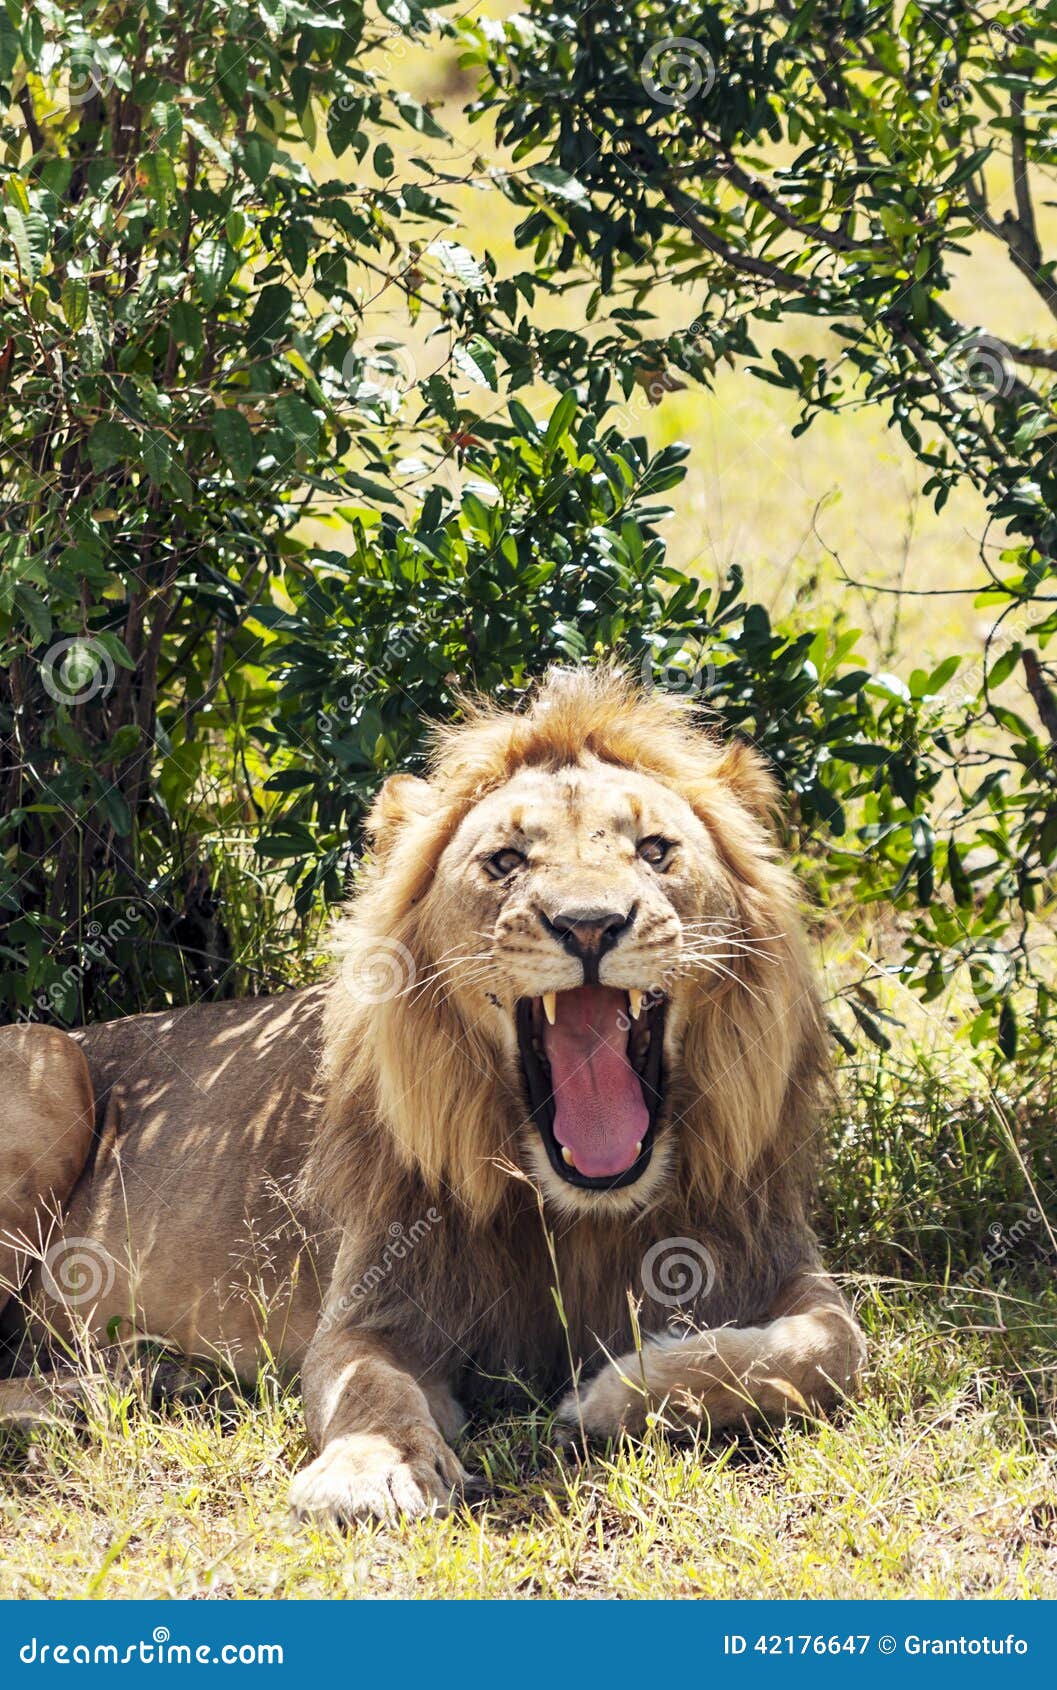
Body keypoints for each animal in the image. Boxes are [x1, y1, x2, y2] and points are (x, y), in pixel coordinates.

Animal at [0, 666, 864, 1522]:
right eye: (505, 861)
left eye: (655, 851)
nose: (589, 924)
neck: (581, 1212)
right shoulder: (373, 1303)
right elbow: (368, 1386)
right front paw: (371, 1471)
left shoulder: (770, 1254)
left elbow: (831, 1347)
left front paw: (616, 1393)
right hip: (47, 1059)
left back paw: (147, 1372)